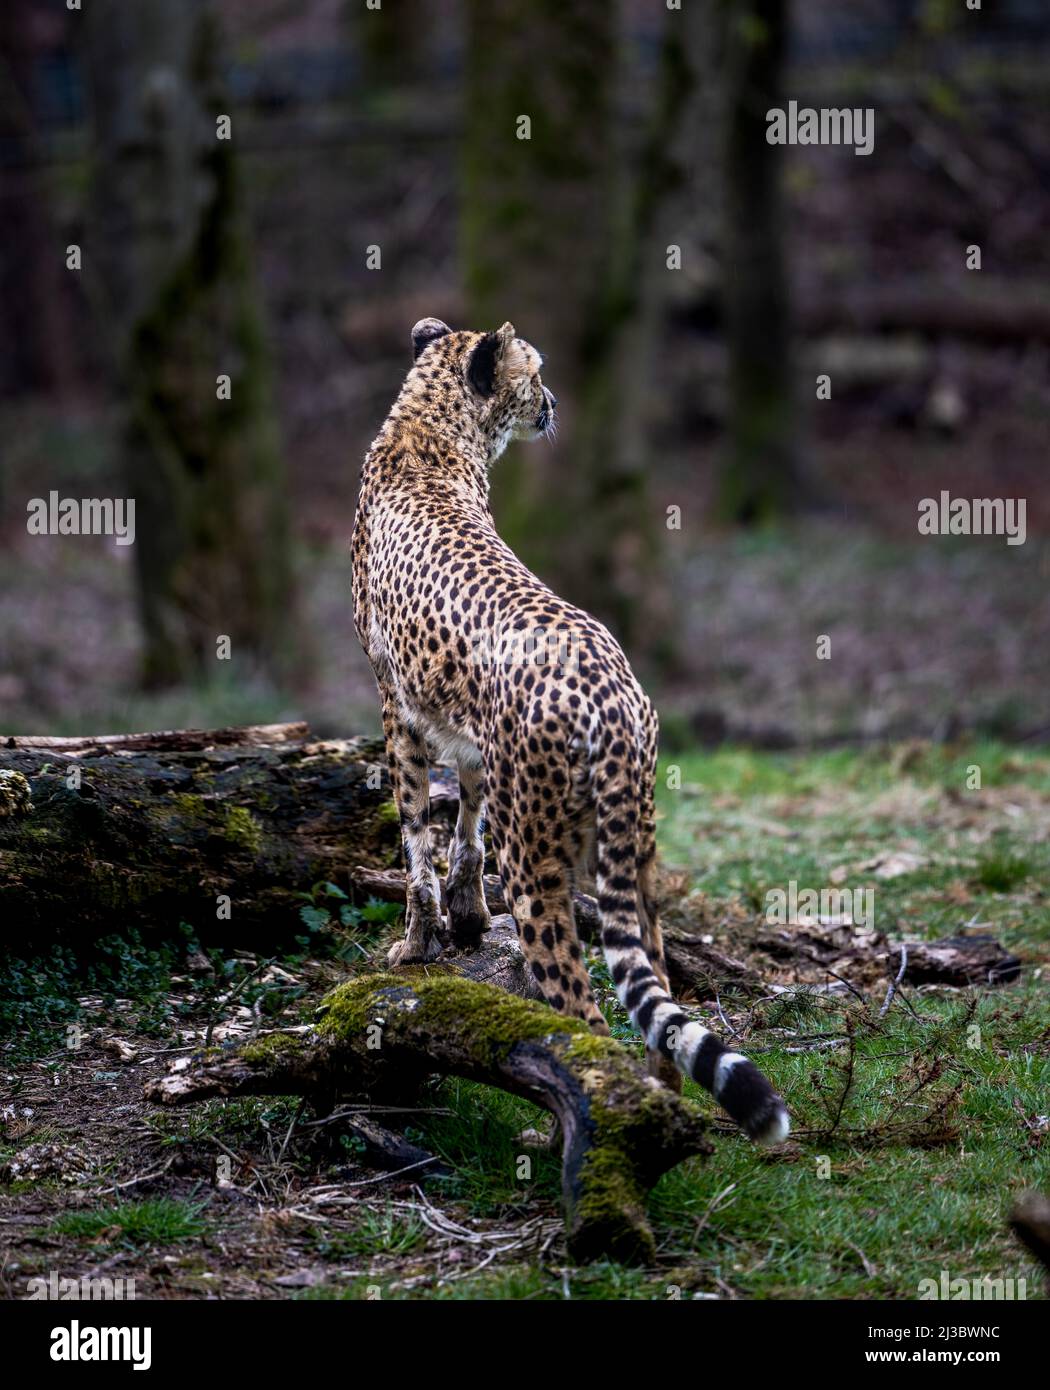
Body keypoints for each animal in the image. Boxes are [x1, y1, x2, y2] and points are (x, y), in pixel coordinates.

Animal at [350, 317, 789, 1144]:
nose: (553, 400)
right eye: (537, 371)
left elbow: (416, 838)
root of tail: (612, 692)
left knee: (585, 1014)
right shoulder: (466, 734)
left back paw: (576, 1129)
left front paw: (418, 943)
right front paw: (465, 915)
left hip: (540, 868)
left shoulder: (398, 708)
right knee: (655, 992)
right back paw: (655, 1109)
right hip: (630, 851)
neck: (429, 433)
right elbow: (464, 820)